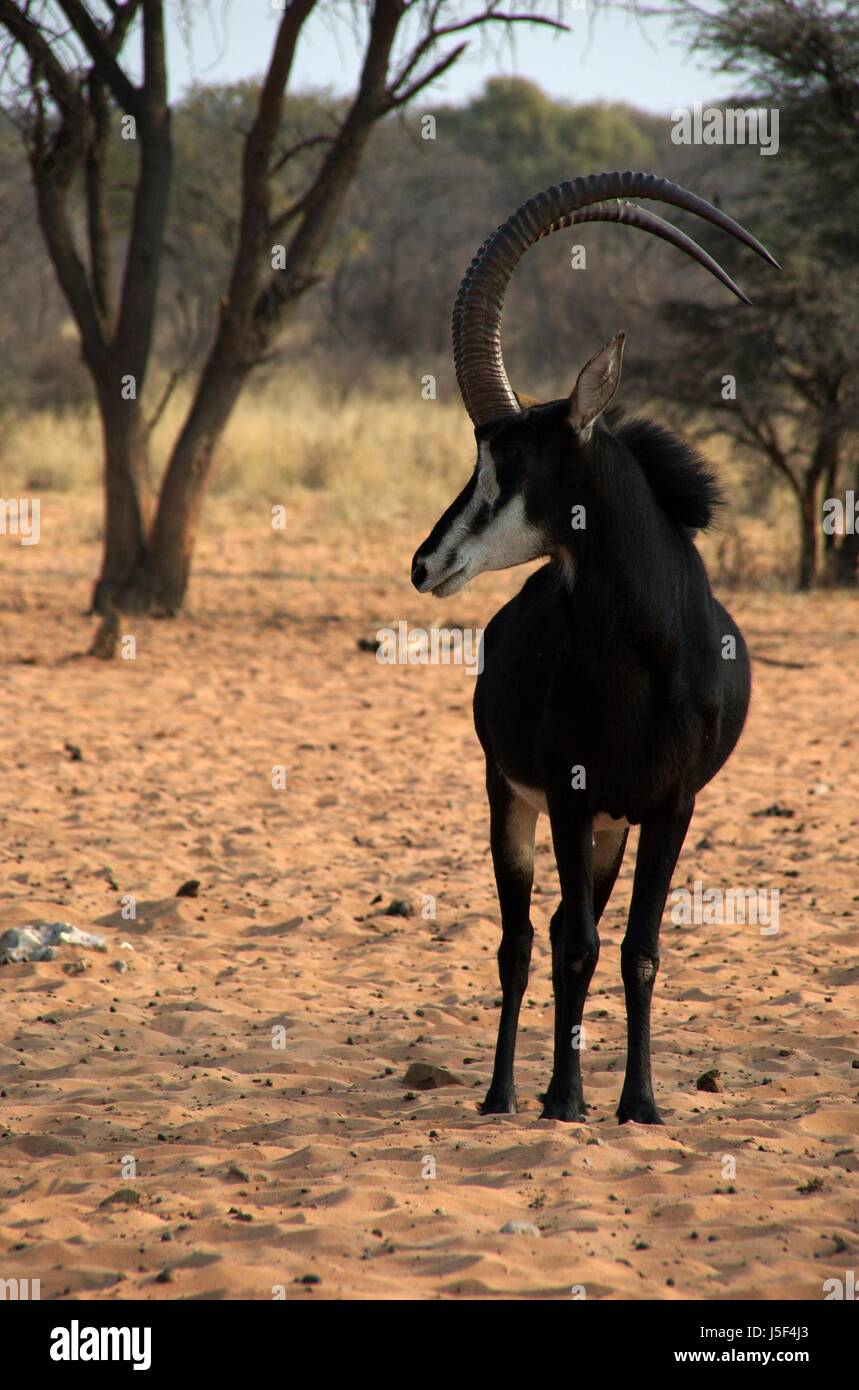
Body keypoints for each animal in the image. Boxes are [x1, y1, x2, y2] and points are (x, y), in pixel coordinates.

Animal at [411, 172, 778, 1124]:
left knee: (561, 933)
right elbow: (572, 943)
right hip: (512, 800)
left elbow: (637, 948)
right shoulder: (568, 800)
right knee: (520, 940)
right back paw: (507, 1091)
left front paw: (638, 1104)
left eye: (510, 461)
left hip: (613, 827)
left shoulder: (671, 807)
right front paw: (564, 1103)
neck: (649, 656)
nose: (425, 562)